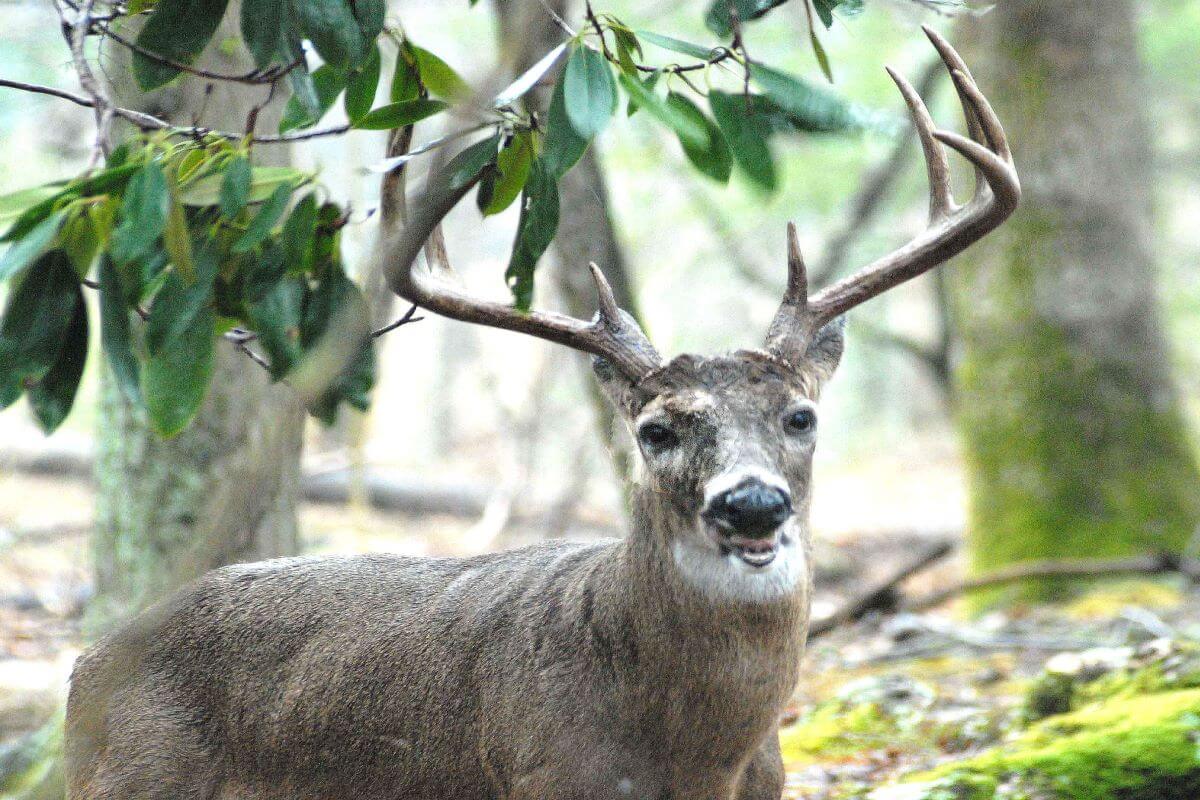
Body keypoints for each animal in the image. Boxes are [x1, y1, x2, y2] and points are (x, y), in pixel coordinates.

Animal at [65, 28, 1018, 800]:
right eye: (655, 430)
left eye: (800, 416)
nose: (751, 504)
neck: (691, 759)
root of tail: (82, 671)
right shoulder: (550, 775)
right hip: (133, 780)